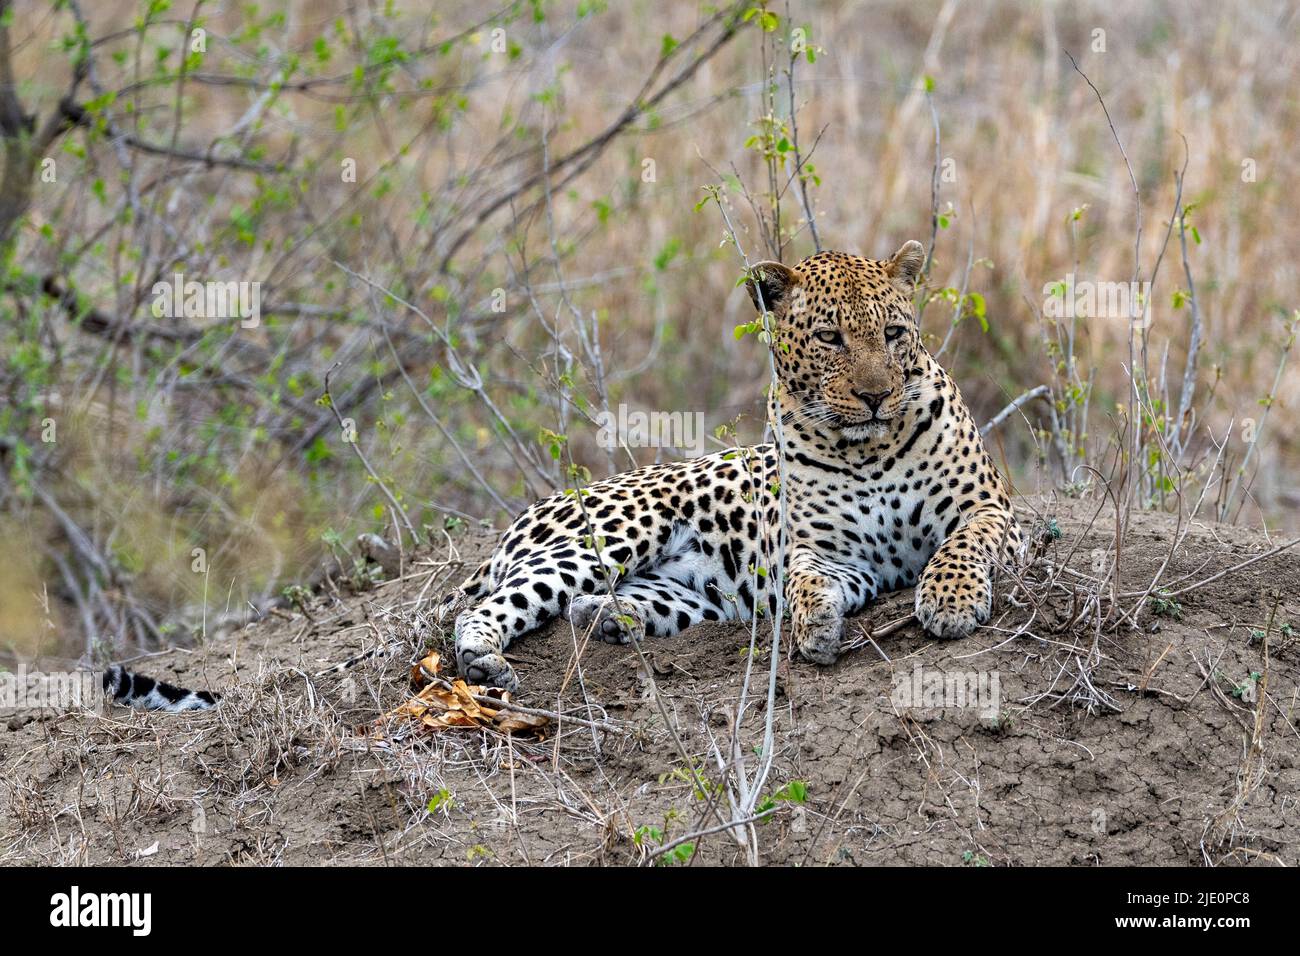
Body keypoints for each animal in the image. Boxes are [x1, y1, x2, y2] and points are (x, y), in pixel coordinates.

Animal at [442, 239, 1023, 693]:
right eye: (830, 338)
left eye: (894, 333)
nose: (876, 396)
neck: (868, 453)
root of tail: (529, 512)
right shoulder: (829, 553)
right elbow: (804, 578)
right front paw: (814, 623)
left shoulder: (992, 511)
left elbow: (960, 546)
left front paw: (949, 601)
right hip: (612, 535)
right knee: (487, 605)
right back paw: (485, 662)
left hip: (689, 595)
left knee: (584, 603)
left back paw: (607, 618)